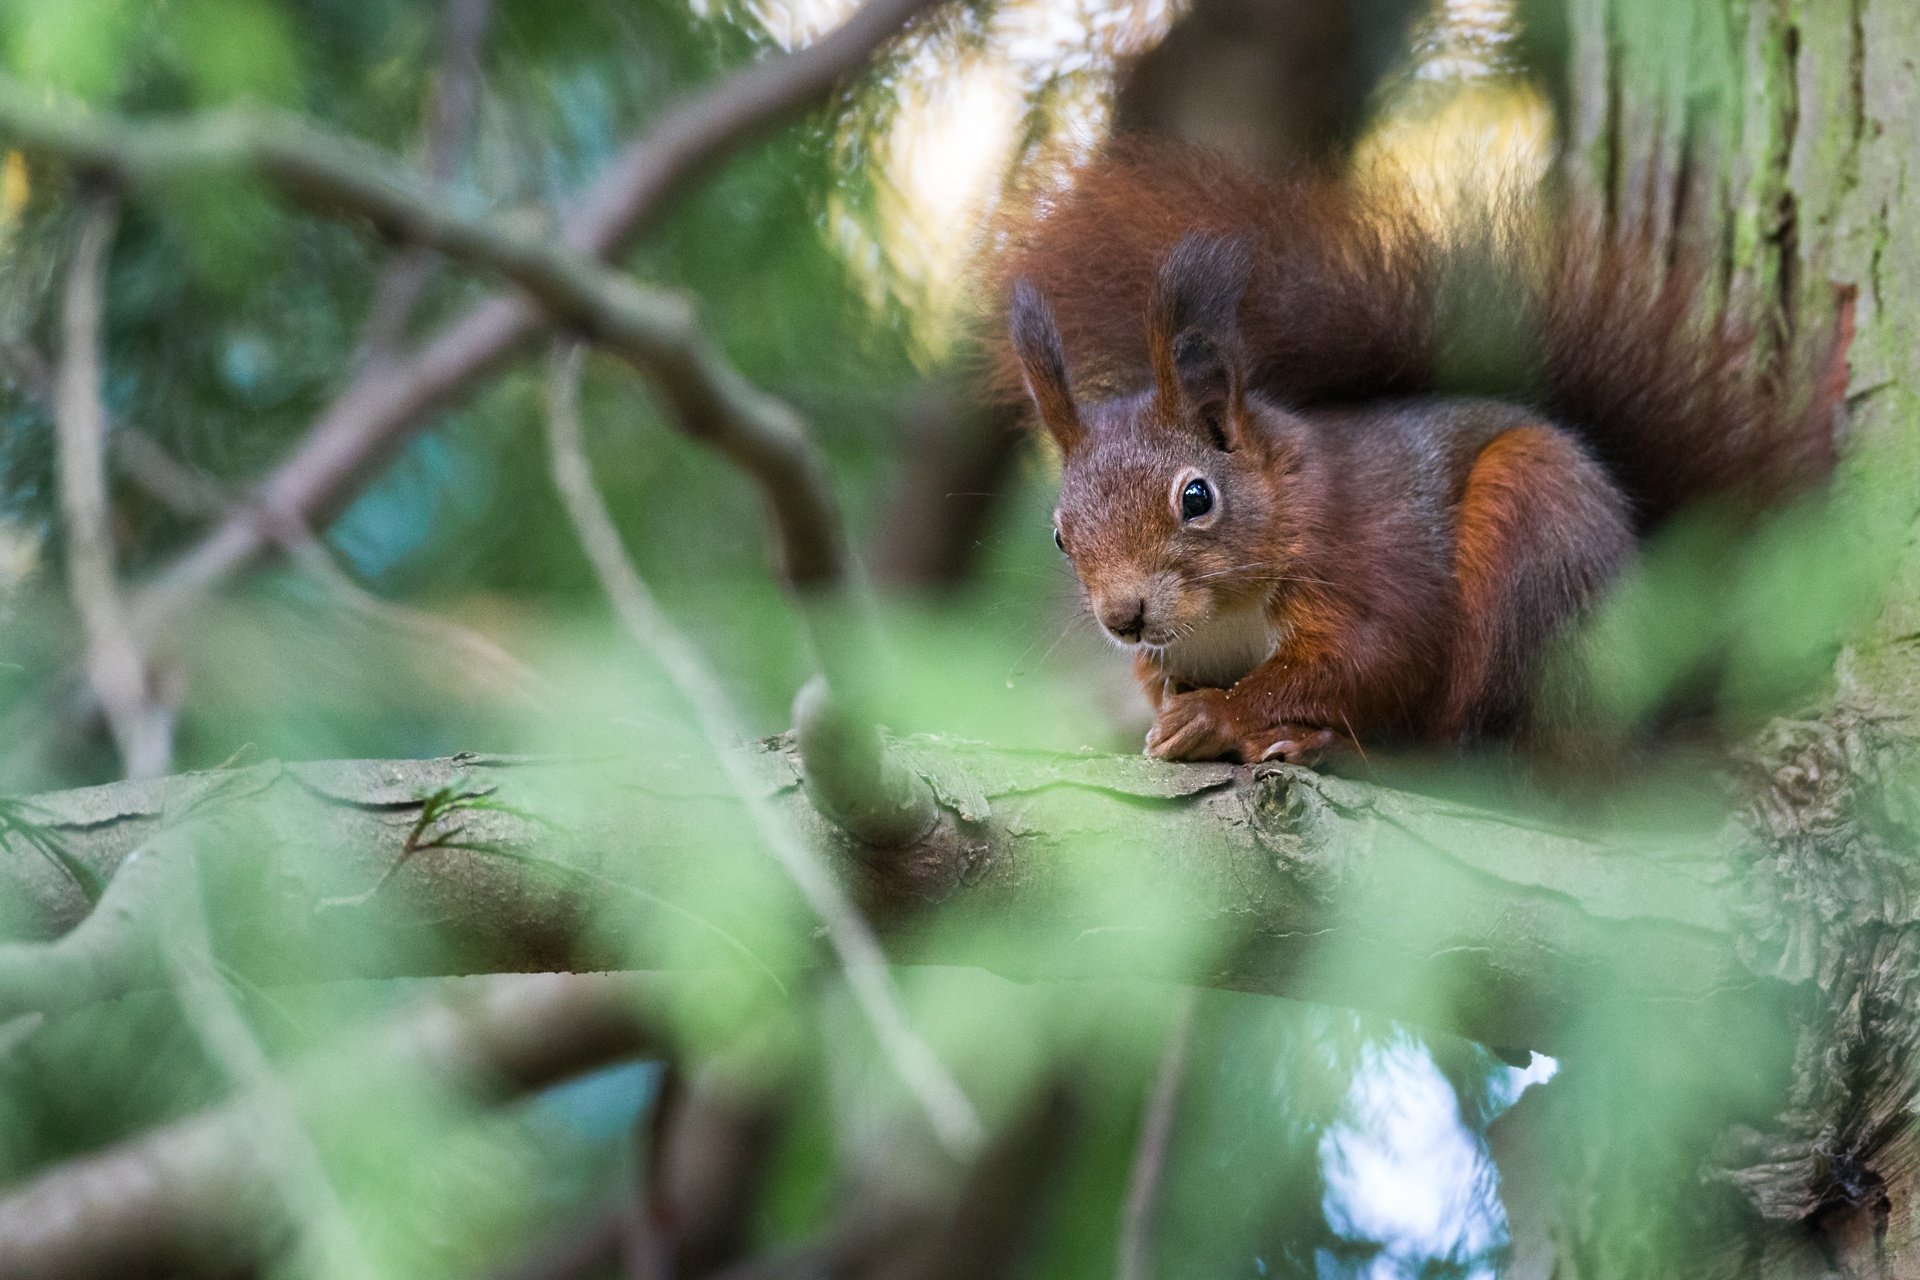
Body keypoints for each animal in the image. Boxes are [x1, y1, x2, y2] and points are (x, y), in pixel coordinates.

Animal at [989, 140, 1847, 766]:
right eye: (1060, 534)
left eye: (1197, 497)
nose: (1123, 616)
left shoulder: (1367, 567)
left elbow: (1374, 659)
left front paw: (1222, 716)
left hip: (1538, 534)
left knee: (1480, 747)